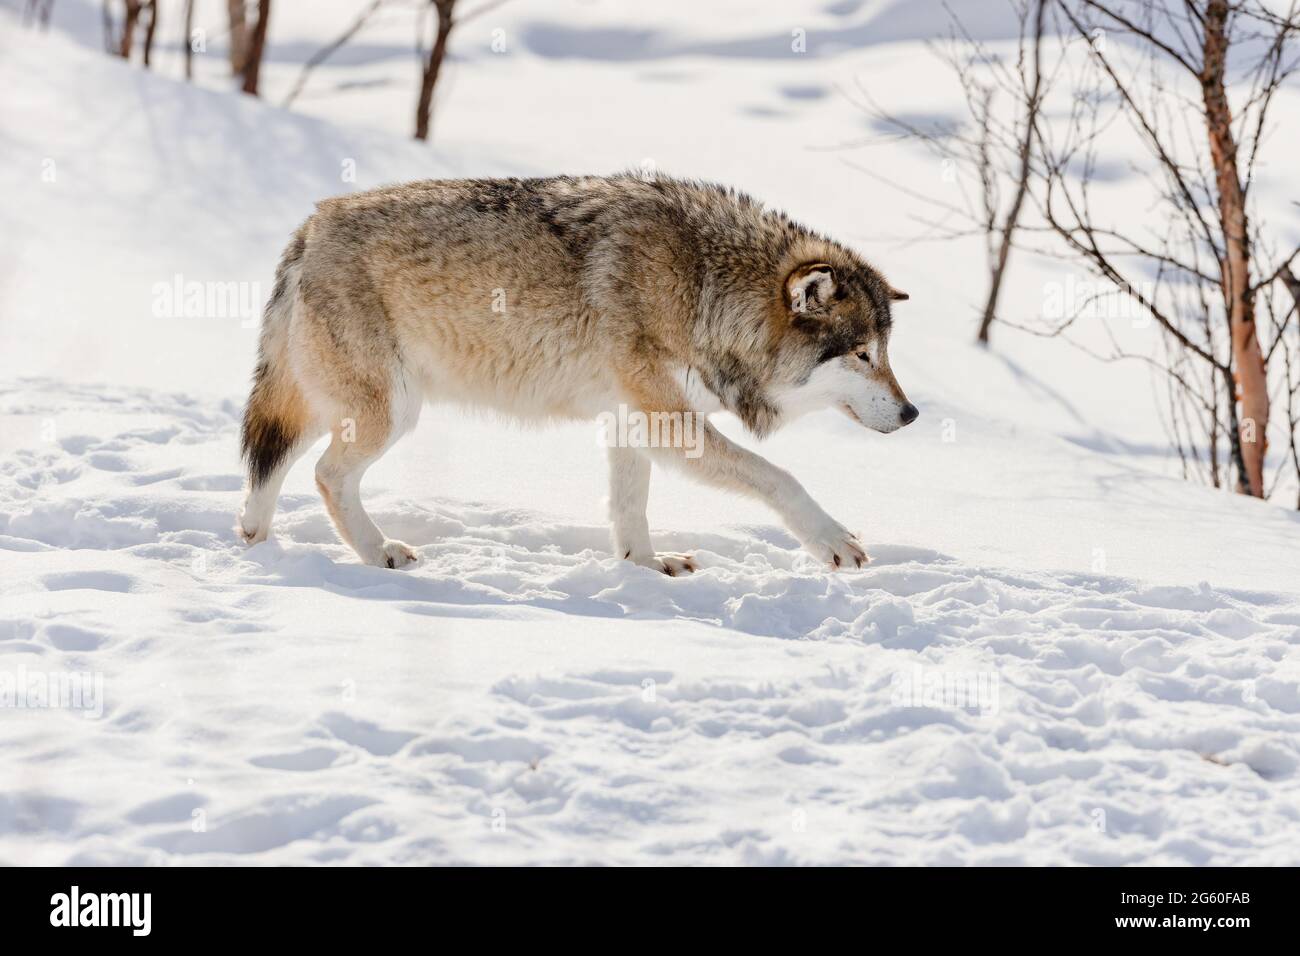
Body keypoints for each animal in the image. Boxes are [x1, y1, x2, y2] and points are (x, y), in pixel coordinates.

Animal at [238, 175, 917, 574]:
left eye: (887, 351)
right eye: (862, 354)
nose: (912, 414)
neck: (706, 290)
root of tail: (311, 225)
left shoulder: (631, 421)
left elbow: (630, 509)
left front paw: (644, 572)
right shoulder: (669, 423)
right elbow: (781, 477)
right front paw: (833, 540)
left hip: (331, 405)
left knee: (268, 468)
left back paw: (256, 549)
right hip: (391, 412)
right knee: (326, 476)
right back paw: (378, 552)